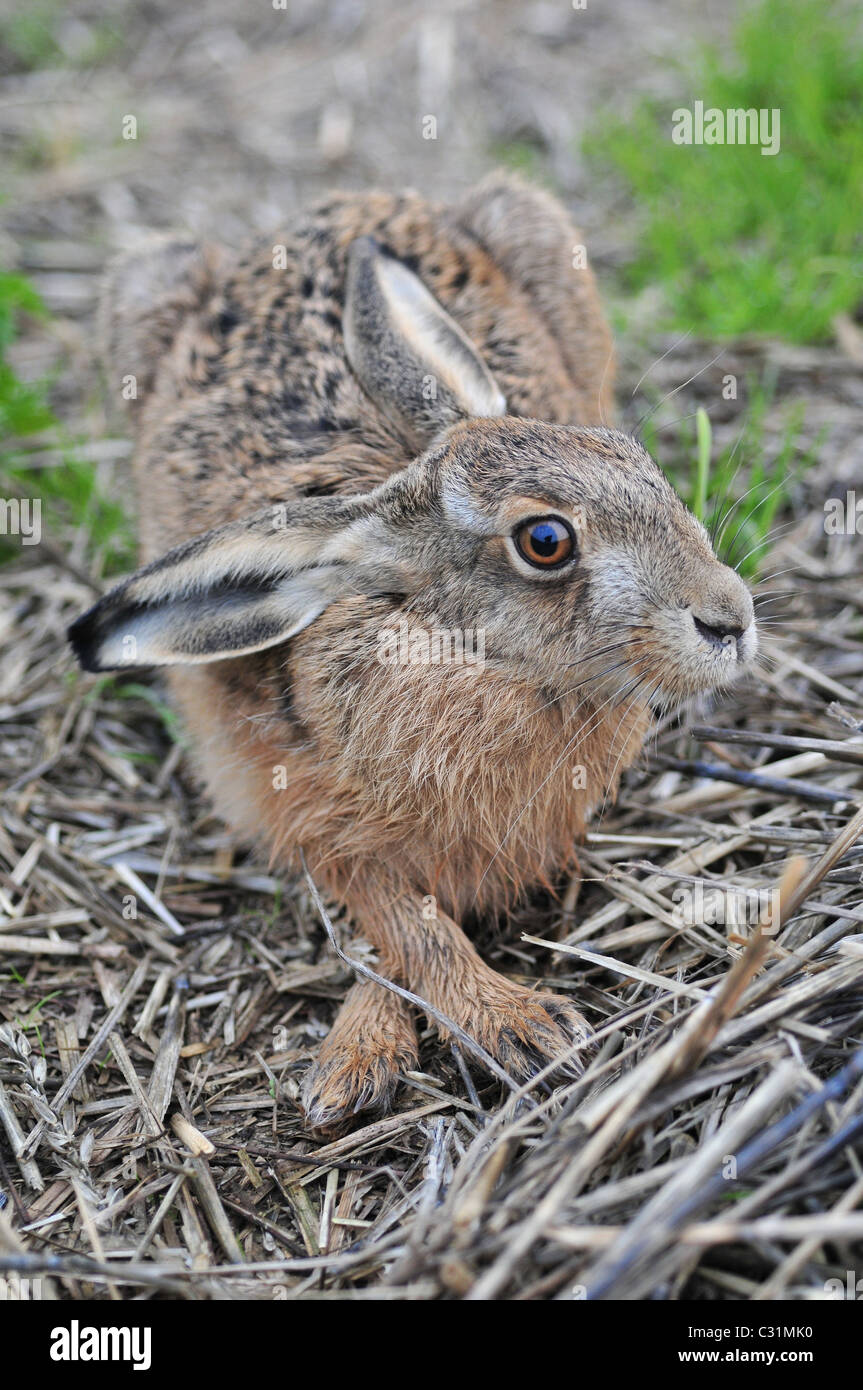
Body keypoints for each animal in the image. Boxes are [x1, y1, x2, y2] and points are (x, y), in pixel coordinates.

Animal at [69, 173, 757, 1130]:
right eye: (545, 542)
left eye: (631, 456)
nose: (731, 618)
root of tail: (339, 206)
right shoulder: (304, 817)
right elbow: (398, 921)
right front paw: (482, 1033)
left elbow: (419, 920)